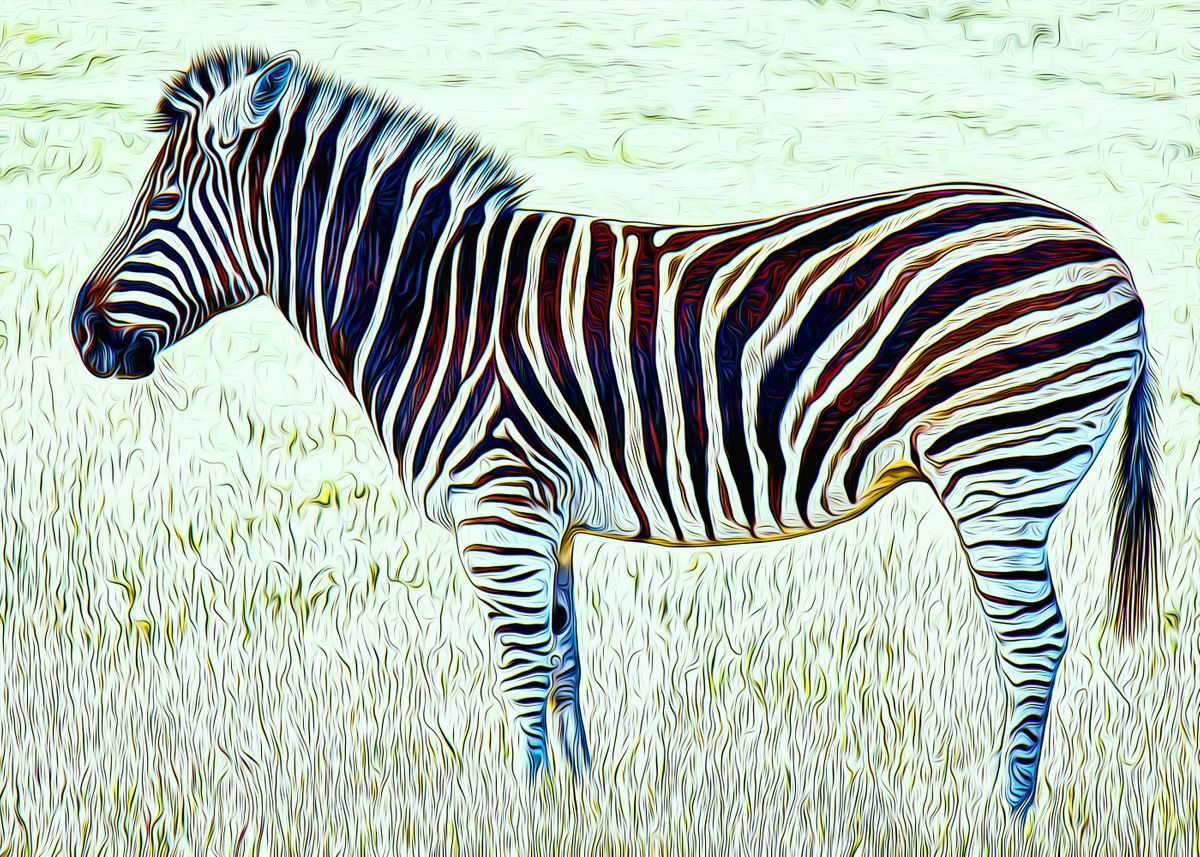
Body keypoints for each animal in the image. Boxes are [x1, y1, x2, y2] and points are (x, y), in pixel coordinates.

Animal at [71, 48, 1159, 816]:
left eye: (162, 199)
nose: (83, 333)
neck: (431, 302)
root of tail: (1110, 251)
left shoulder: (498, 505)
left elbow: (521, 667)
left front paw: (524, 808)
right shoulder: (540, 515)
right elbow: (563, 661)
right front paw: (576, 805)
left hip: (1001, 469)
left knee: (1033, 640)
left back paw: (1005, 813)